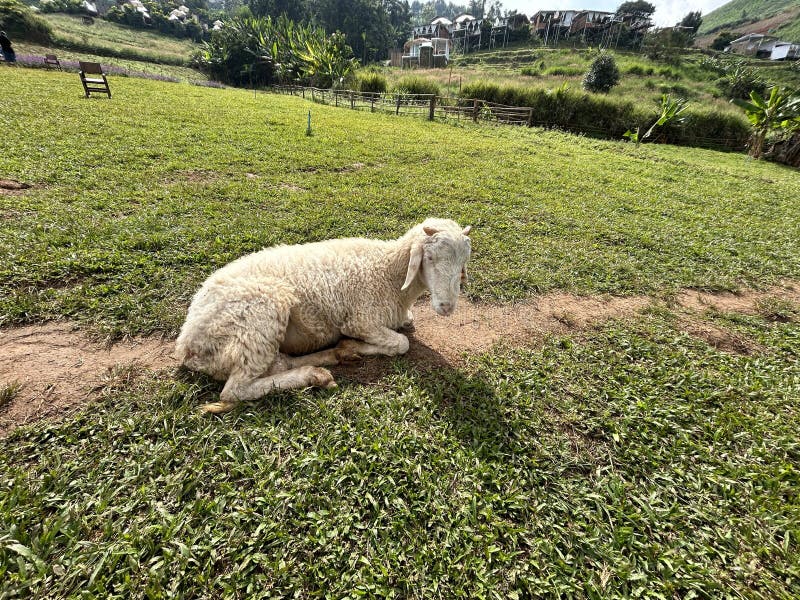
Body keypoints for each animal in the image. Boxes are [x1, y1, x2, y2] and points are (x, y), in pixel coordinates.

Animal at [175, 218, 472, 413]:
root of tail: (187, 345)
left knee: (280, 363)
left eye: (463, 262)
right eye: (429, 258)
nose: (447, 306)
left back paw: (332, 358)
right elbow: (402, 343)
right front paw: (356, 344)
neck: (388, 272)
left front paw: (350, 348)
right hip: (260, 317)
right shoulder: (361, 320)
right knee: (235, 390)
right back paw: (313, 374)